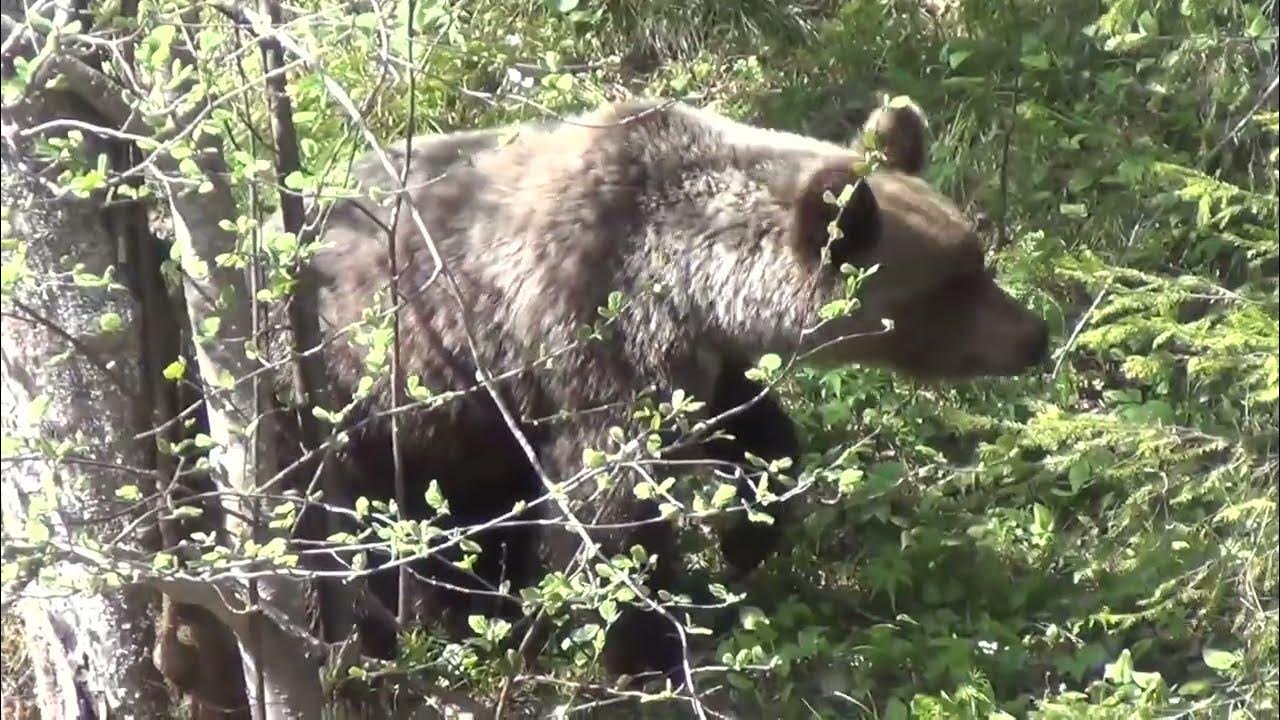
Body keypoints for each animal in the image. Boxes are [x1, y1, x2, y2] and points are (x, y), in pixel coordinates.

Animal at [285, 97, 1050, 680]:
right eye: (951, 284)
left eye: (976, 255)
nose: (1035, 336)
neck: (689, 277)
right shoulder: (595, 336)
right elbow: (614, 506)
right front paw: (646, 646)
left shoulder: (699, 360)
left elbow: (755, 432)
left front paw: (749, 535)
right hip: (366, 394)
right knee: (377, 527)